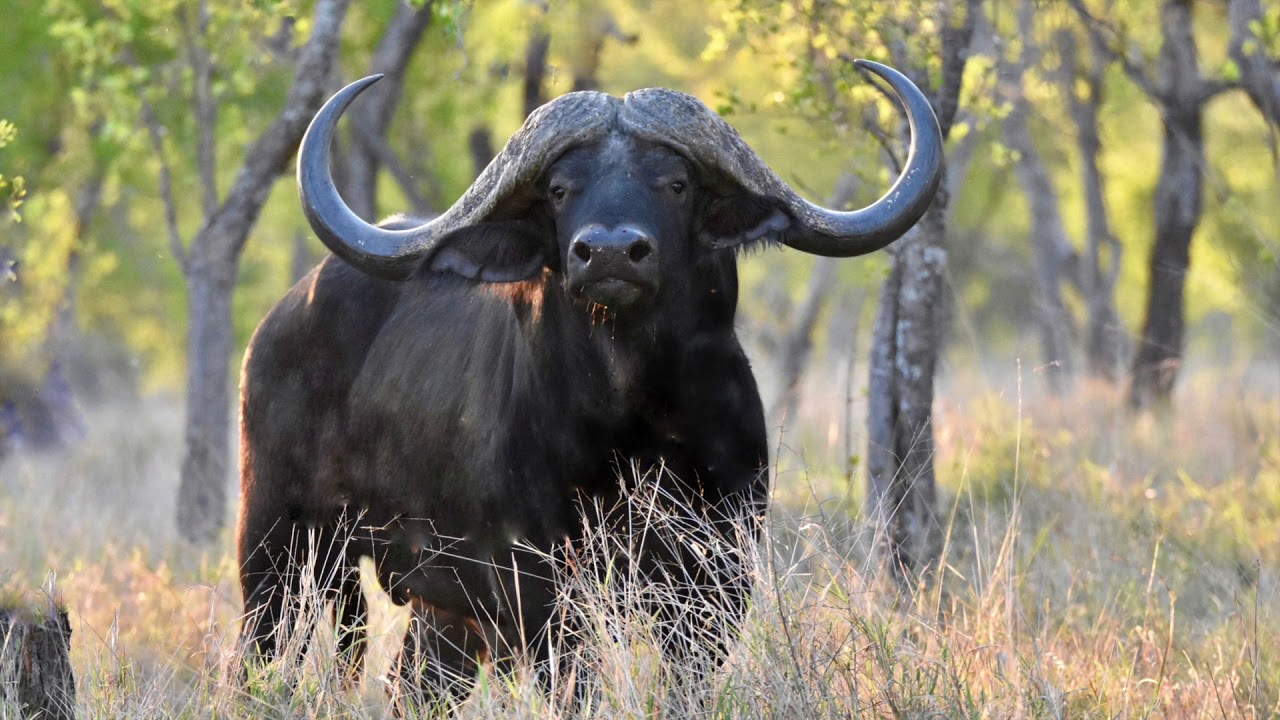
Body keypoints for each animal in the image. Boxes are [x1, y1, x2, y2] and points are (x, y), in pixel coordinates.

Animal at [237, 59, 941, 708]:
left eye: (676, 183)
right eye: (558, 188)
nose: (607, 254)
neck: (631, 430)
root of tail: (278, 322)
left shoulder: (715, 588)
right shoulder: (539, 592)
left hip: (438, 612)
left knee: (416, 685)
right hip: (275, 551)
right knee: (259, 659)